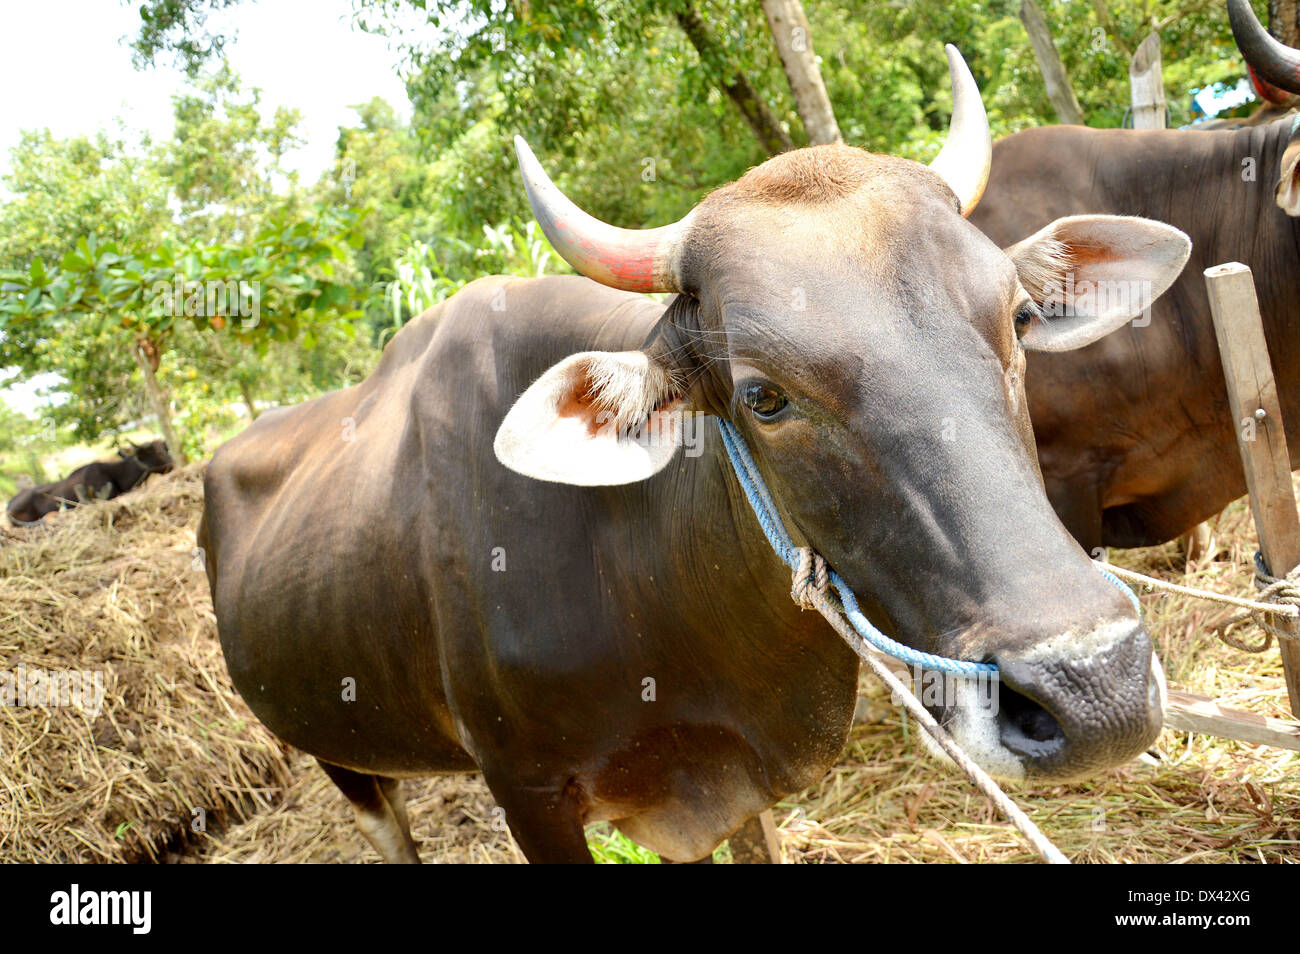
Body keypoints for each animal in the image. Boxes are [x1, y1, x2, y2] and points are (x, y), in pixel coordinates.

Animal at [200, 47, 1189, 863]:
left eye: (1017, 317)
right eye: (763, 395)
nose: (1095, 686)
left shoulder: (732, 788)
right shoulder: (530, 797)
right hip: (337, 755)